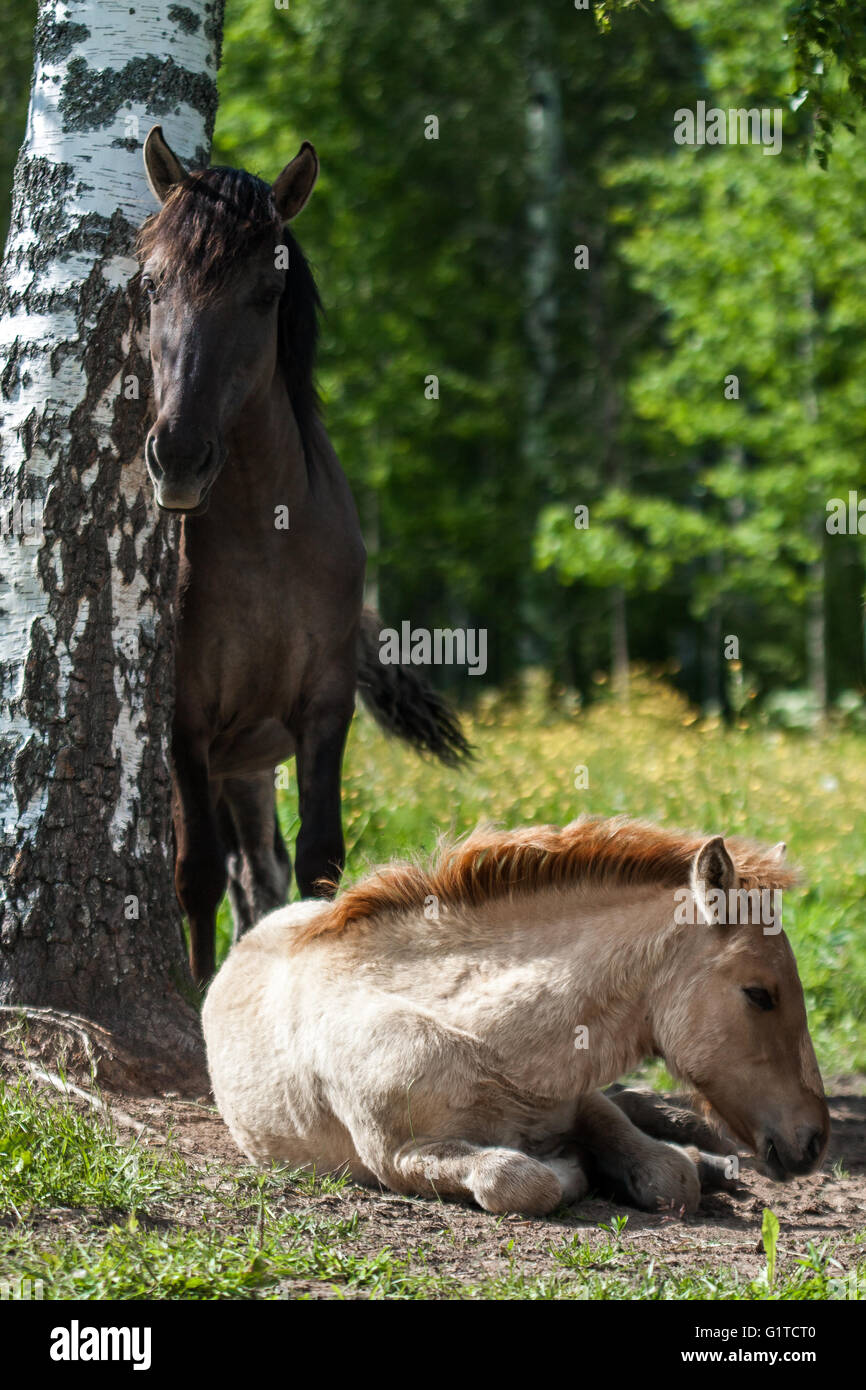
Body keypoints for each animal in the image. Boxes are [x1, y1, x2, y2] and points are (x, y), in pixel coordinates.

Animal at [137, 128, 468, 986]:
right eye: (151, 284)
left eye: (264, 293)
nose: (178, 458)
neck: (266, 534)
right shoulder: (186, 724)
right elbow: (194, 876)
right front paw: (196, 996)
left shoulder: (322, 709)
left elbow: (320, 863)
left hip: (249, 766)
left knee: (261, 871)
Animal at [203, 814, 829, 1215]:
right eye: (760, 994)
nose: (814, 1140)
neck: (484, 1042)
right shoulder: (396, 1156)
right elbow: (518, 1179)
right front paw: (573, 1171)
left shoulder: (581, 1099)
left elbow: (665, 1172)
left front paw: (688, 1163)